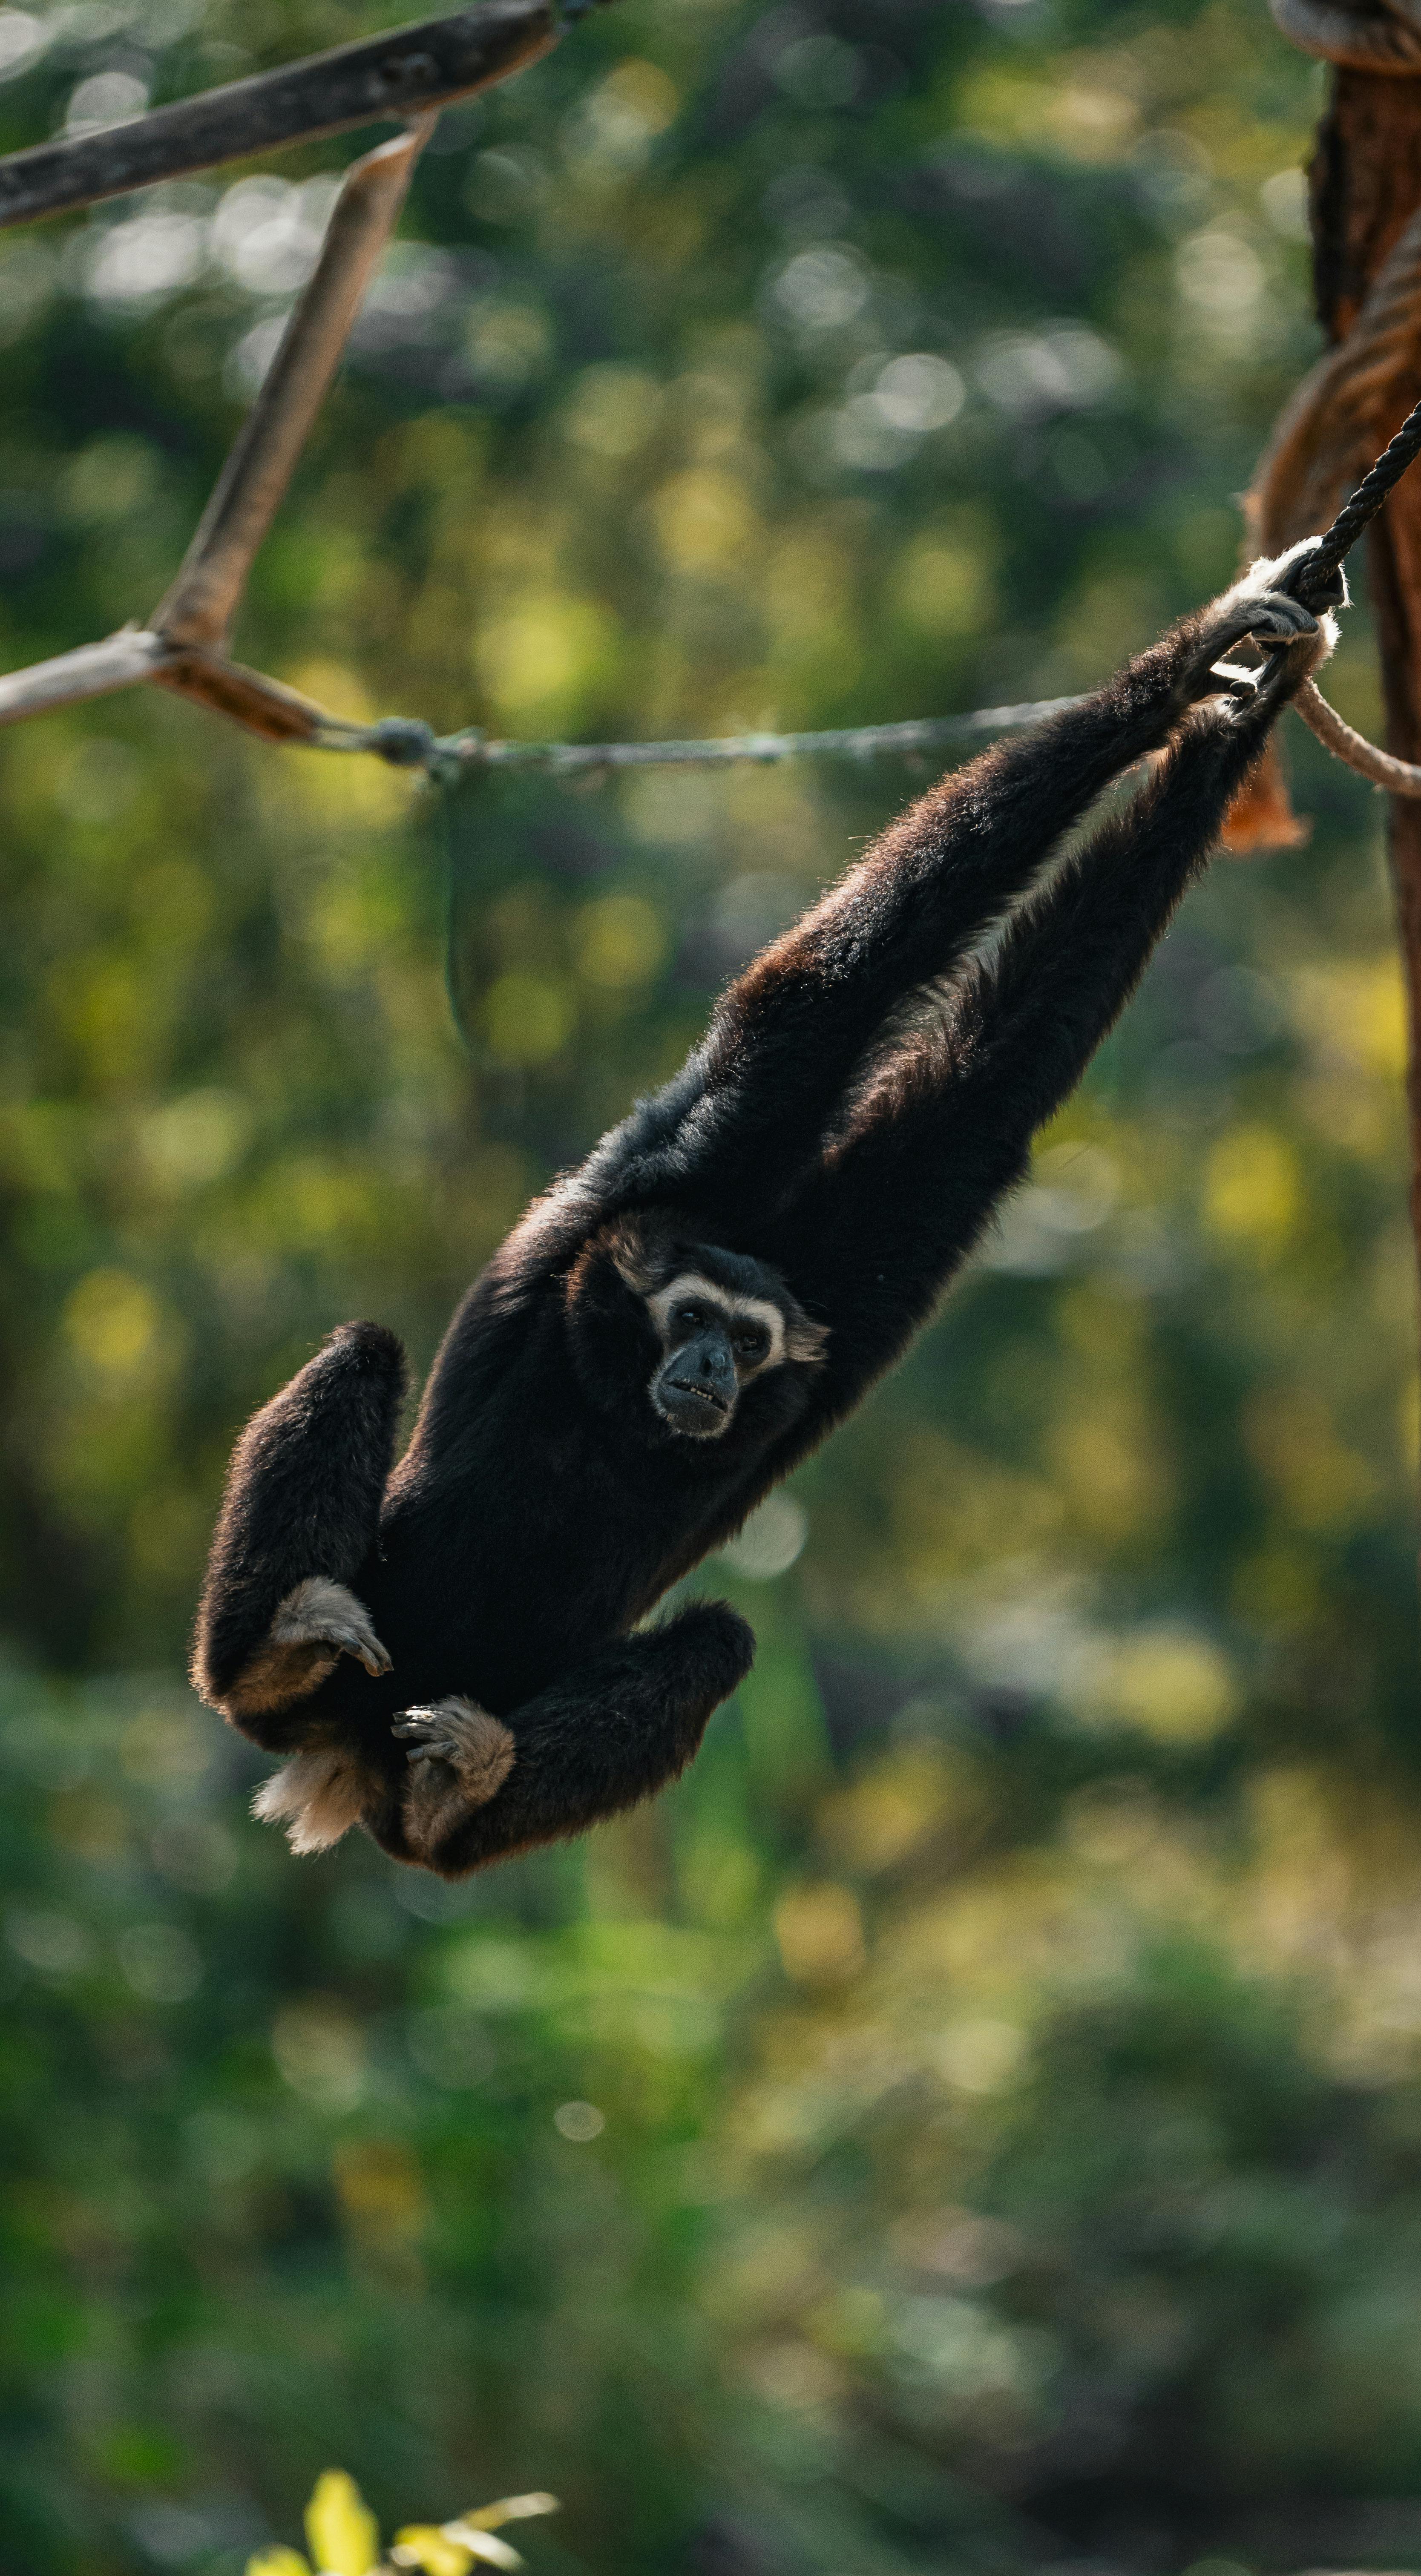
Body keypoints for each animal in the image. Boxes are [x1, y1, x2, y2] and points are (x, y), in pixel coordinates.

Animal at [191, 544, 1342, 1877]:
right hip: (352, 1657)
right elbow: (819, 996)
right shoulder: (682, 1159)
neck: (614, 1412)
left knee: (712, 1648)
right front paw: (1200, 662)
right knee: (366, 1360)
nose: (707, 1370)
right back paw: (268, 1666)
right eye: (694, 1317)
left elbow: (985, 1087)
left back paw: (449, 1804)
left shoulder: (840, 1295)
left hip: (434, 1737)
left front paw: (1229, 728)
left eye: (747, 1343)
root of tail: (344, 1758)